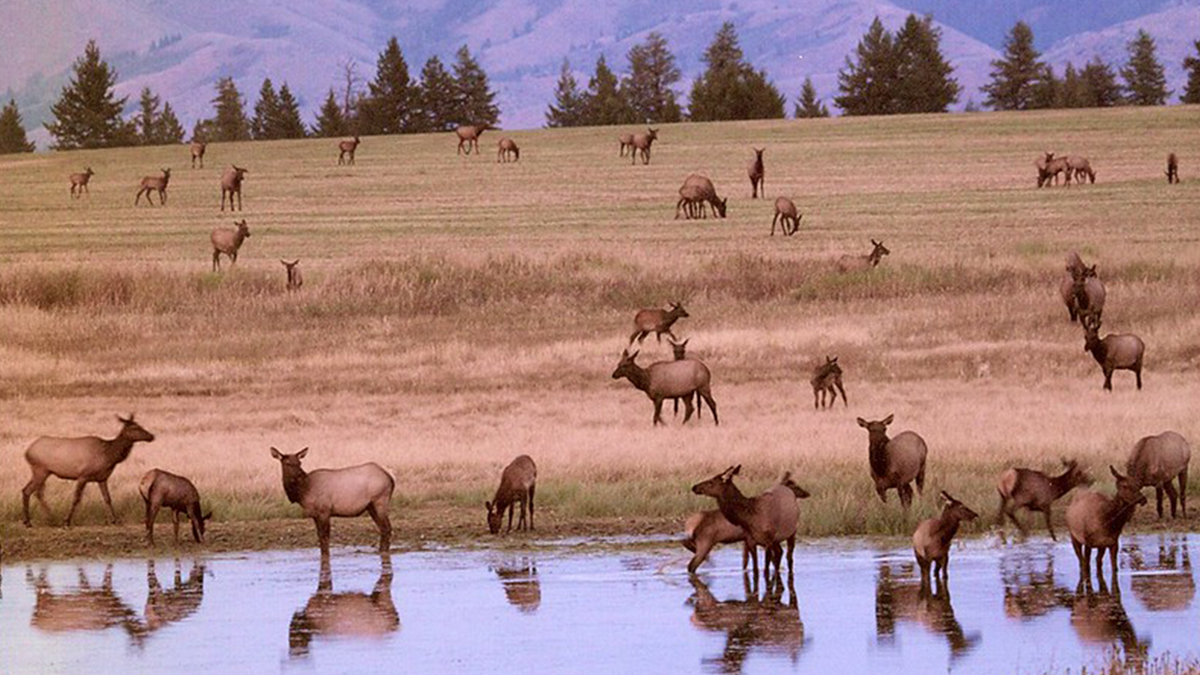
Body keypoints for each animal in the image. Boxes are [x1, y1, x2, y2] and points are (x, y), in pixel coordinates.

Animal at [21, 414, 156, 527]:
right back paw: (35, 521)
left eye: (140, 424)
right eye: (134, 427)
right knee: (30, 491)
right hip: (40, 470)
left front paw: (115, 520)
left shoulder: (102, 478)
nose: (151, 436)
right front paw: (67, 521)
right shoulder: (83, 476)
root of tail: (27, 452)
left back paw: (43, 519)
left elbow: (107, 498)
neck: (109, 456)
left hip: (43, 472)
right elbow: (76, 498)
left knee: (32, 491)